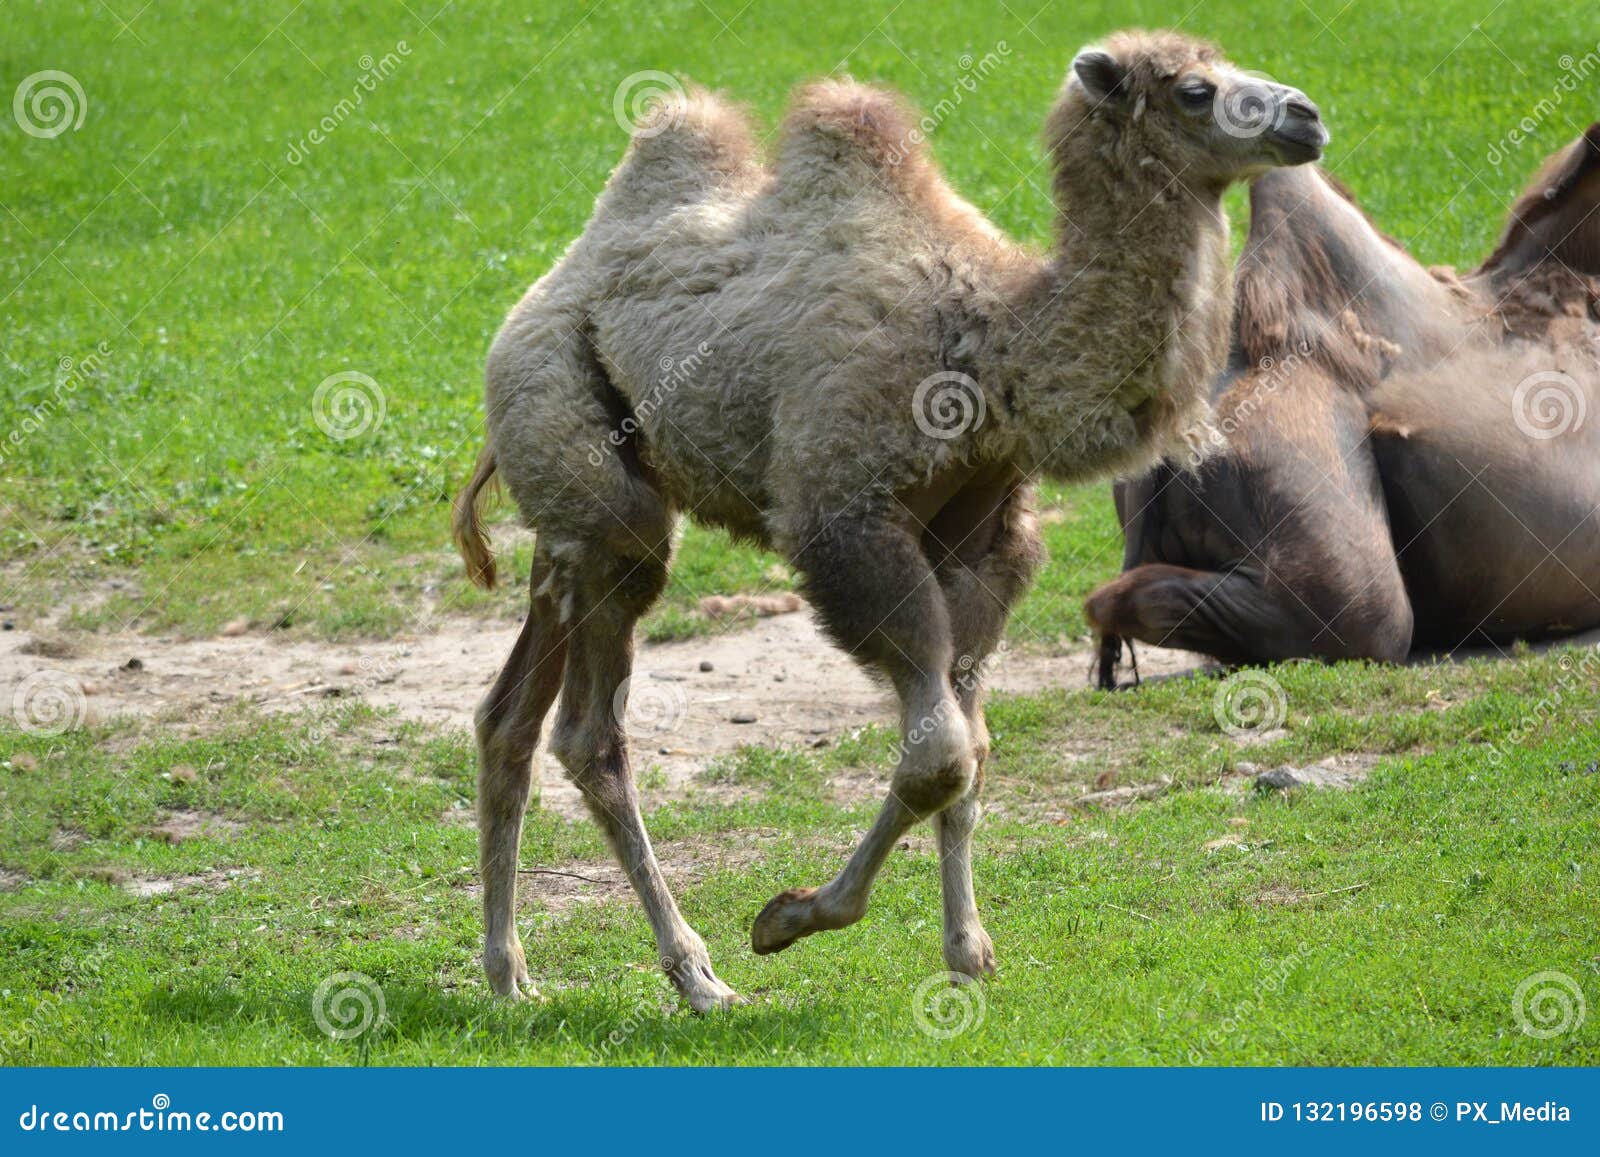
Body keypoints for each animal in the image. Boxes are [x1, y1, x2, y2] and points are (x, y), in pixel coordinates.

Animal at [453, 31, 1326, 1010]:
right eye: (1194, 89)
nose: (1306, 115)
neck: (992, 350)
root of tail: (542, 293)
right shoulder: (846, 522)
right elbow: (939, 753)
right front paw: (788, 917)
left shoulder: (984, 545)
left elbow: (970, 751)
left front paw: (967, 950)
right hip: (590, 468)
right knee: (590, 732)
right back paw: (698, 976)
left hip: (576, 518)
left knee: (509, 716)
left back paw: (510, 973)